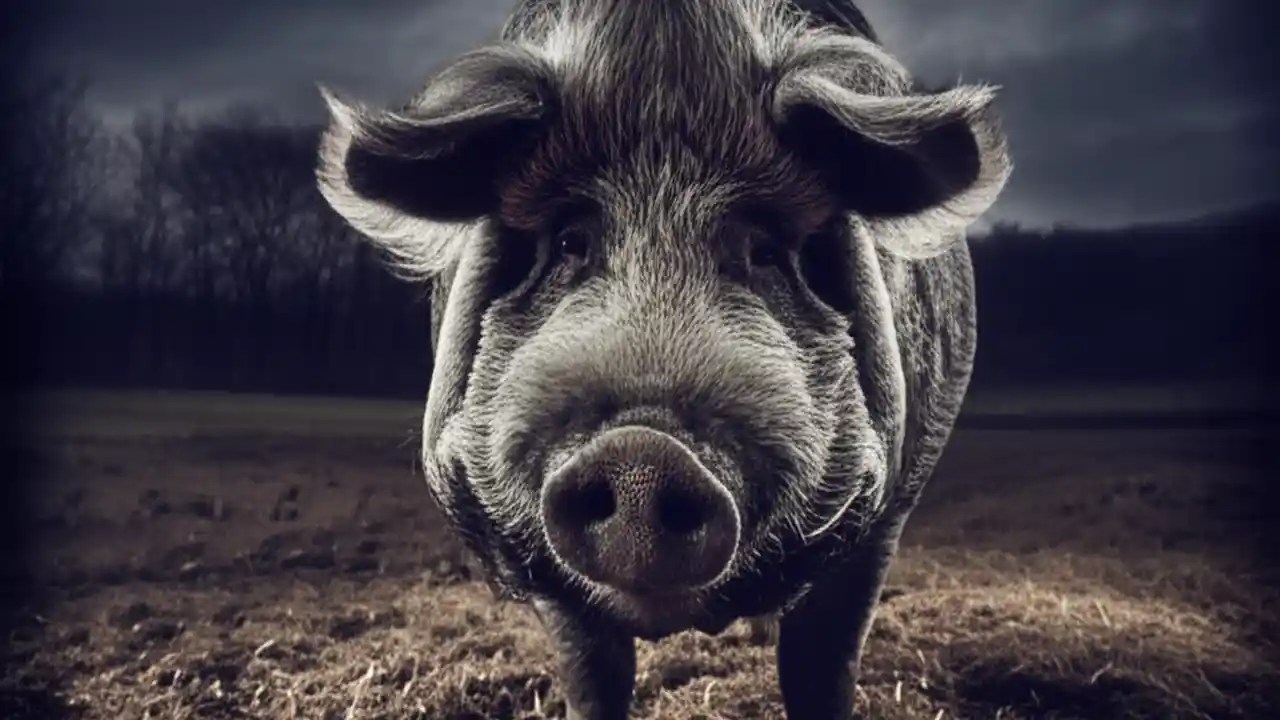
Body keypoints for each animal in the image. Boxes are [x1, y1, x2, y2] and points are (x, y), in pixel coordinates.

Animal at [316, 1, 1011, 718]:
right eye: (569, 242)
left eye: (764, 251)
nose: (642, 457)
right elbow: (594, 674)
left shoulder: (881, 521)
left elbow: (820, 666)